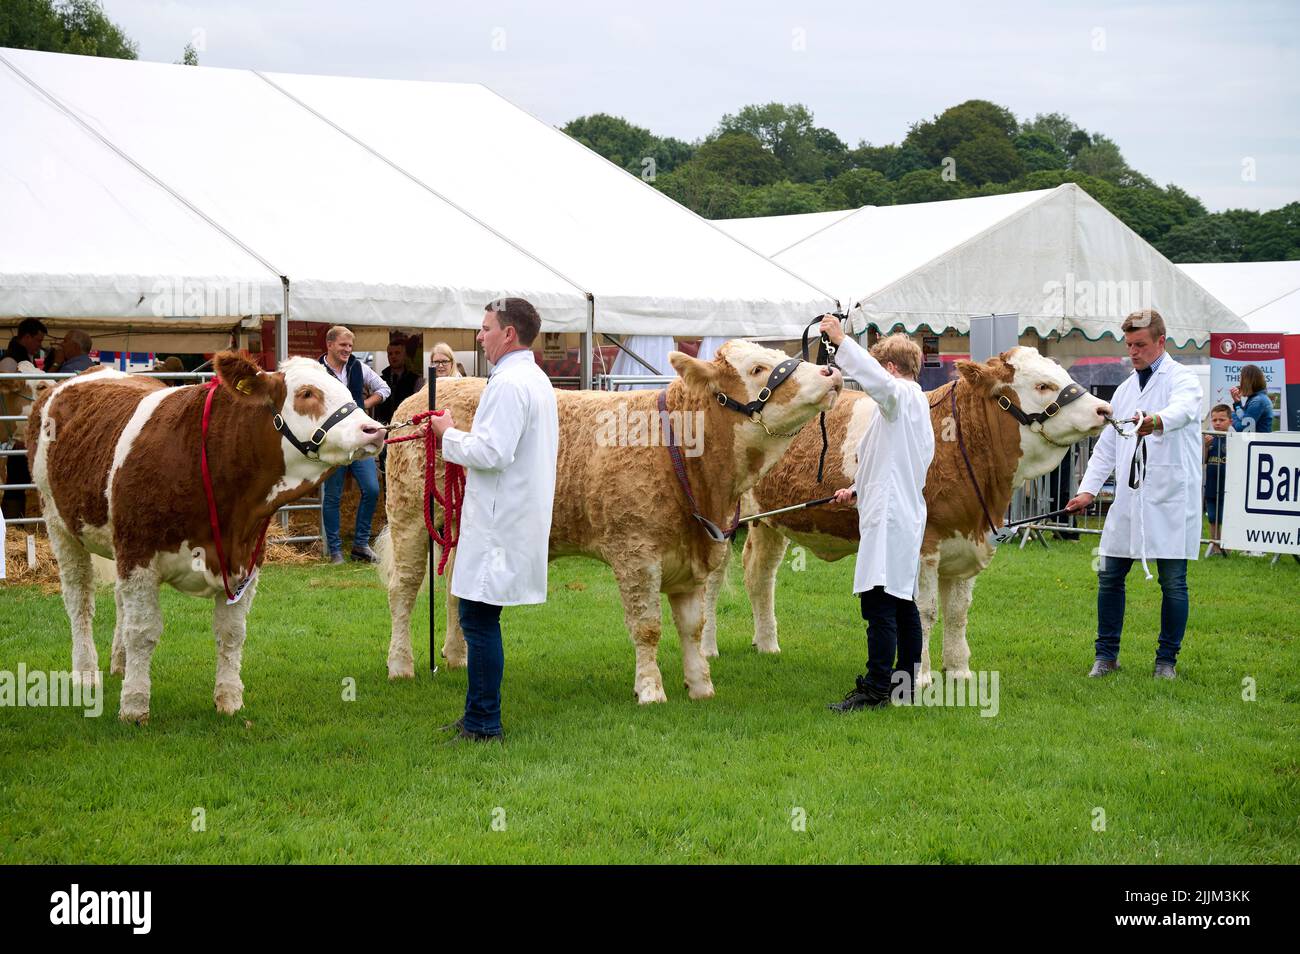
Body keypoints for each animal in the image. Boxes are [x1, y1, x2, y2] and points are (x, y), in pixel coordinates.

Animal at [28, 352, 386, 723]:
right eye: (306, 393)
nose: (373, 430)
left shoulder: (246, 558)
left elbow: (231, 632)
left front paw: (229, 699)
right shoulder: (138, 552)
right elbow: (143, 632)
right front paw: (134, 705)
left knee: (118, 599)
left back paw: (121, 662)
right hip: (59, 525)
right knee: (79, 599)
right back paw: (86, 672)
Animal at [380, 340, 843, 703]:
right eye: (758, 369)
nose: (831, 371)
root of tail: (433, 392)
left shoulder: (694, 555)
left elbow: (692, 627)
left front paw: (700, 686)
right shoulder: (635, 553)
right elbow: (648, 626)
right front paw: (651, 689)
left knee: (455, 591)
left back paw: (458, 657)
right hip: (409, 515)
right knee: (403, 588)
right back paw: (401, 664)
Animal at [701, 346, 1111, 683]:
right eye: (1043, 385)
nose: (1103, 409)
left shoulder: (965, 543)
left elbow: (958, 611)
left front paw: (959, 670)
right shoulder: (924, 546)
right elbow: (925, 611)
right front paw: (923, 675)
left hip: (768, 522)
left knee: (760, 576)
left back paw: (767, 643)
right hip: (722, 522)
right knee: (712, 583)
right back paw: (707, 648)